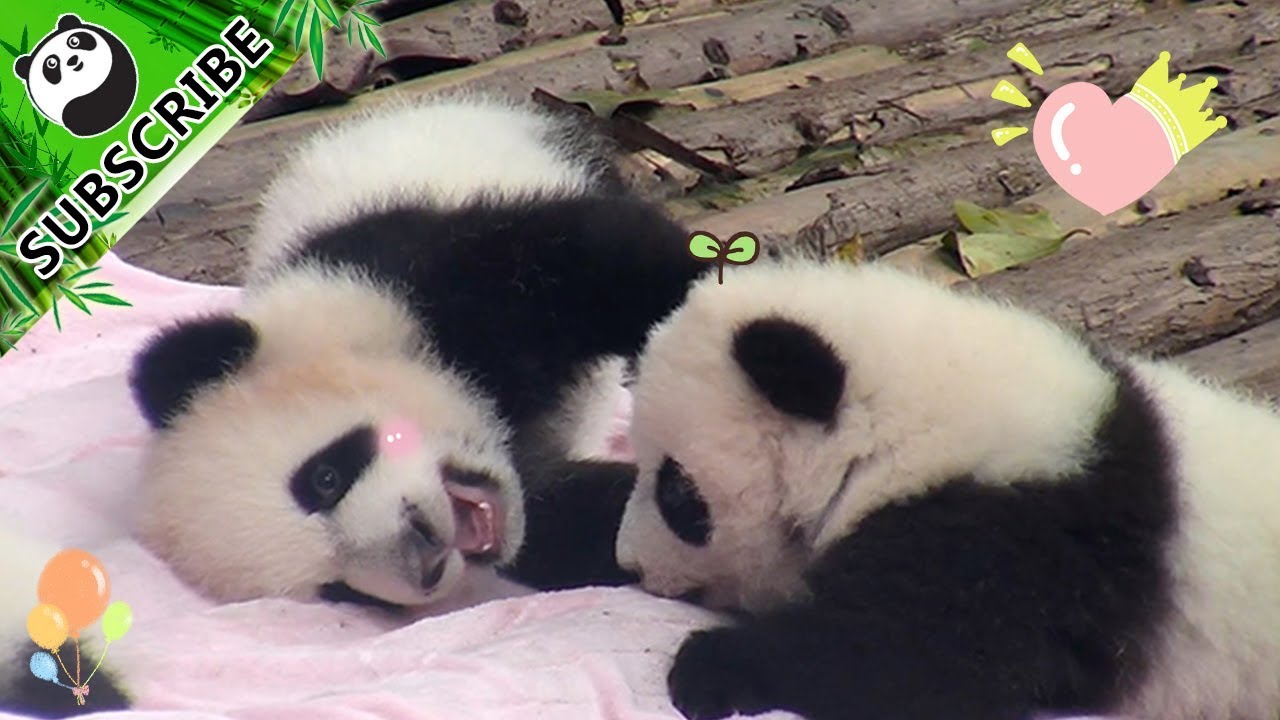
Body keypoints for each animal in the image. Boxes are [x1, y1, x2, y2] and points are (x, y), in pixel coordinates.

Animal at [0, 93, 704, 717]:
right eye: (336, 589)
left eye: (324, 477)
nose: (422, 558)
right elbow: (588, 522)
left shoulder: (416, 278)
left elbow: (594, 263)